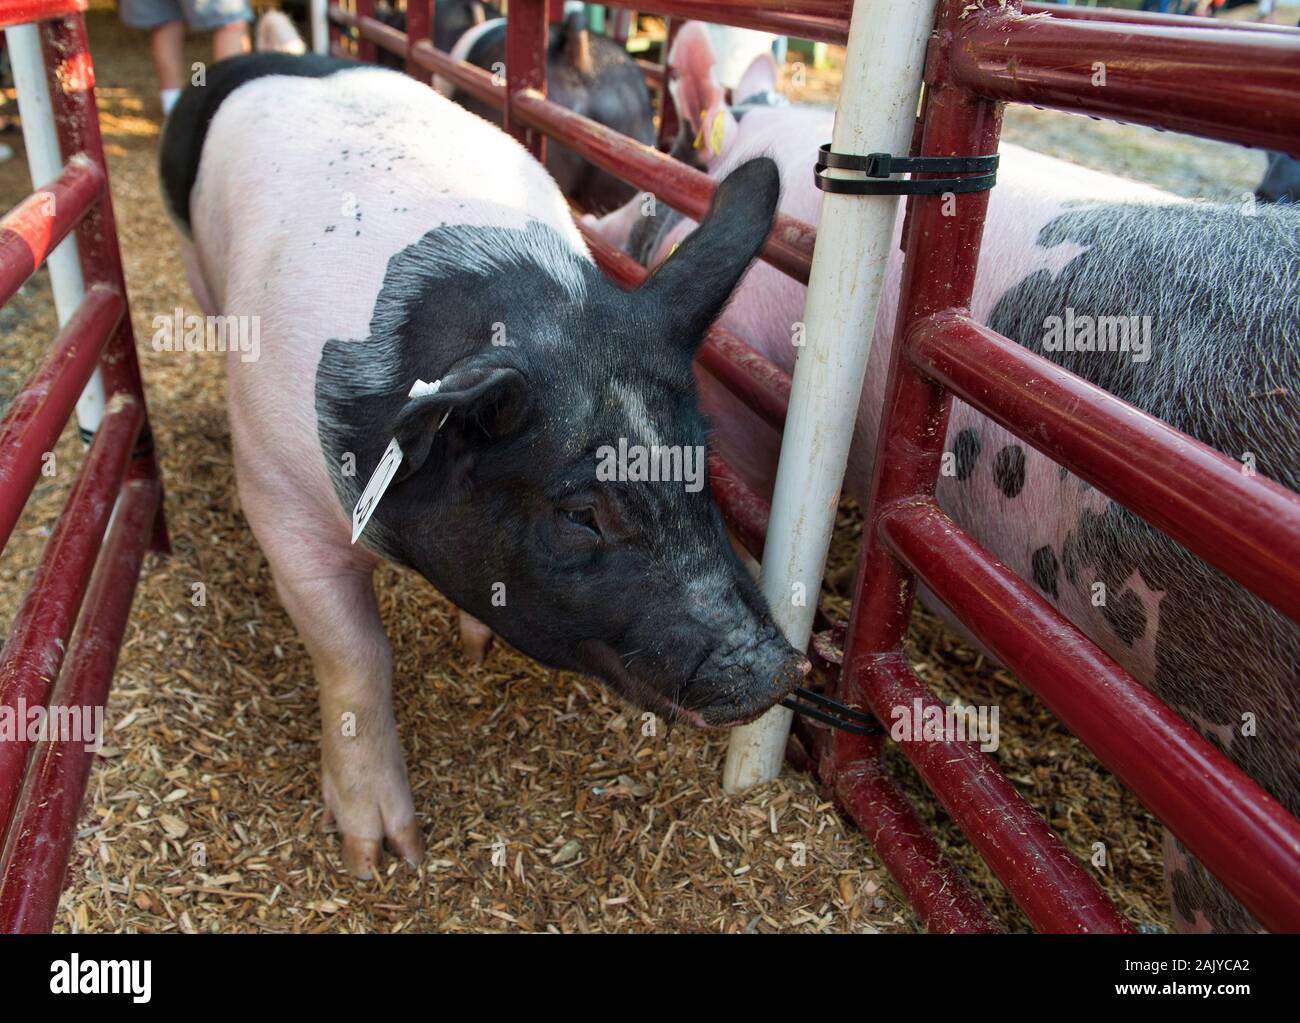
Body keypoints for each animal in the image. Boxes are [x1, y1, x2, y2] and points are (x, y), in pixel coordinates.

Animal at [158, 31, 808, 877]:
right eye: (579, 512)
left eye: (697, 459)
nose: (777, 667)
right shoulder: (279, 501)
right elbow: (355, 657)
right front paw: (384, 854)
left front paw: (474, 642)